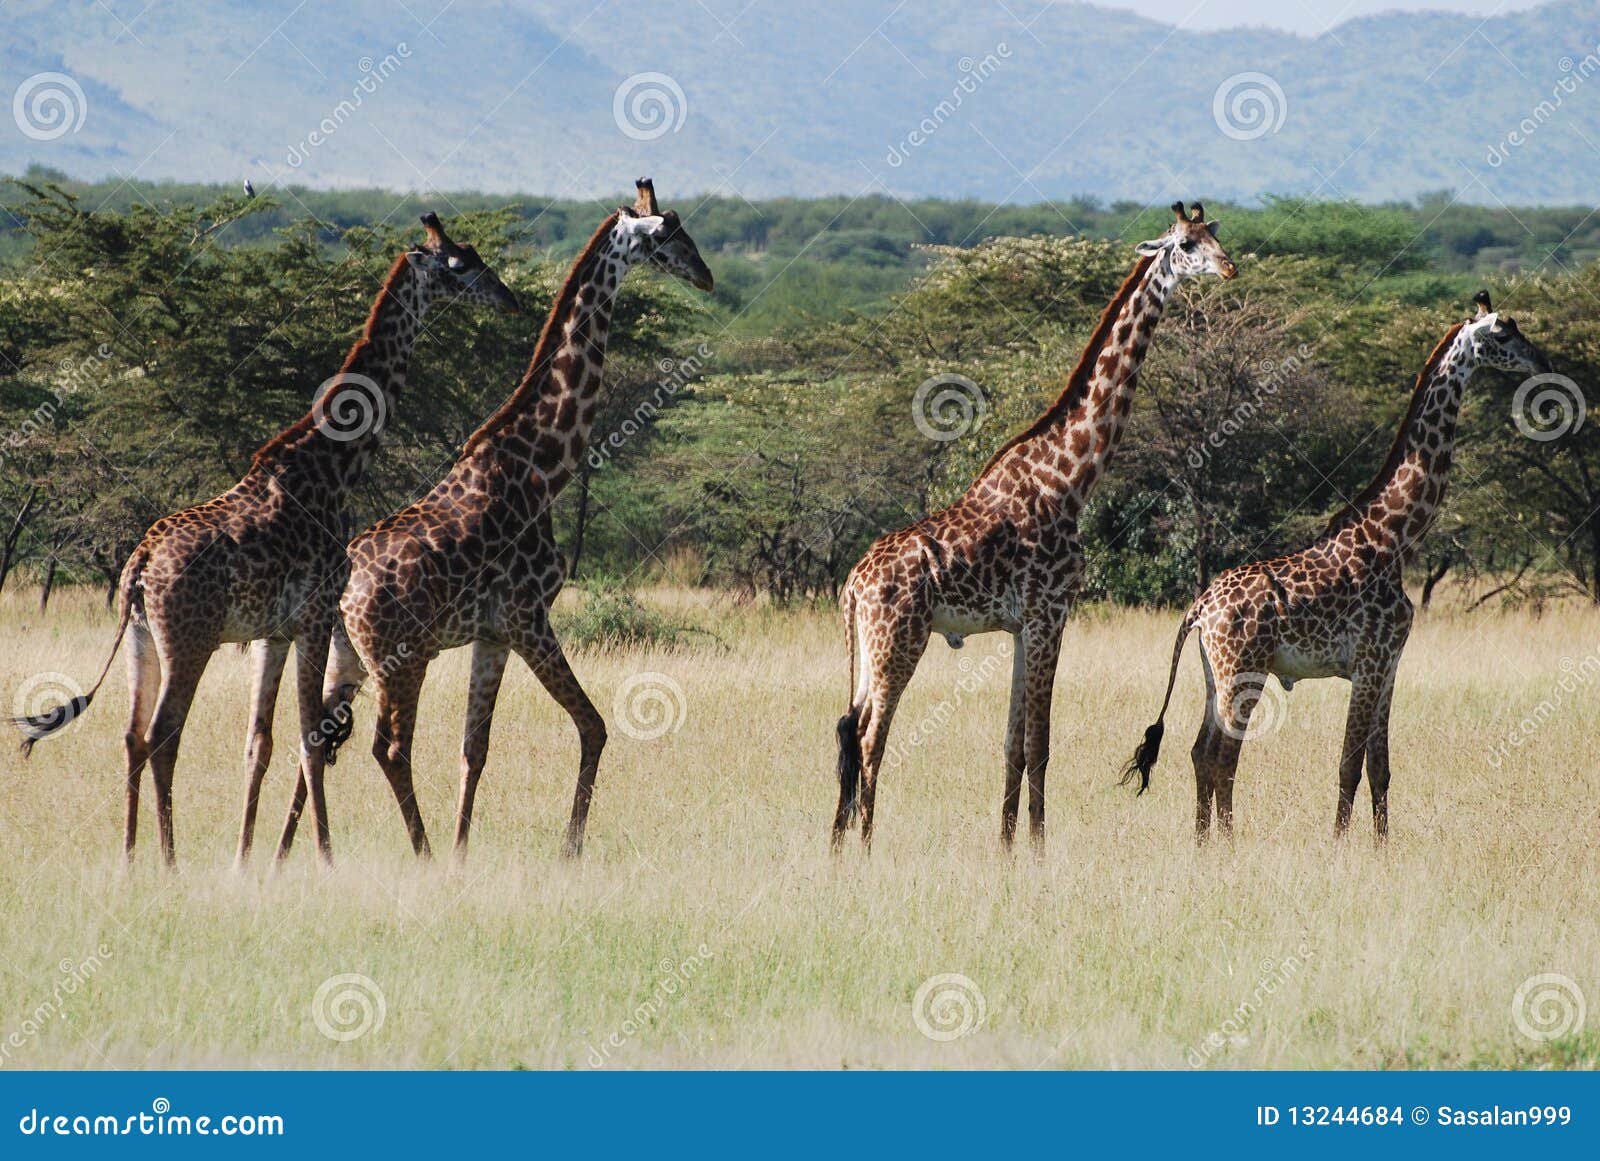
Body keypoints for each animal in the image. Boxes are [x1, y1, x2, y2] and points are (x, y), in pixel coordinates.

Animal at [13, 214, 519, 867]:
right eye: (460, 263)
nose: (509, 299)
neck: (334, 463)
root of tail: (140, 565)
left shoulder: (272, 632)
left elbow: (263, 741)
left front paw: (247, 857)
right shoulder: (316, 614)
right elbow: (310, 737)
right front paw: (324, 857)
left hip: (142, 638)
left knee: (129, 736)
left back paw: (128, 857)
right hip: (190, 638)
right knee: (162, 734)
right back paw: (168, 860)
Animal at [275, 179, 713, 862]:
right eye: (669, 232)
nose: (708, 277)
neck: (542, 464)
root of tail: (342, 594)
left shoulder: (492, 633)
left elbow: (474, 750)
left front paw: (464, 851)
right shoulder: (527, 615)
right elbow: (594, 726)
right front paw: (568, 851)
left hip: (349, 657)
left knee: (316, 741)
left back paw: (288, 854)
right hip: (401, 657)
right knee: (387, 748)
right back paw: (418, 853)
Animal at [832, 202, 1236, 852]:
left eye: (1216, 236)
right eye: (1184, 245)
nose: (1229, 268)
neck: (1071, 474)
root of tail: (851, 586)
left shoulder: (1023, 626)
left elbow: (1013, 746)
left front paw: (1006, 845)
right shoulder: (1053, 610)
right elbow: (1041, 745)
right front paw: (1041, 848)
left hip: (867, 645)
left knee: (847, 727)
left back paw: (838, 844)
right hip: (899, 638)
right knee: (871, 738)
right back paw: (867, 847)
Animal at [1122, 292, 1553, 842]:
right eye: (1502, 332)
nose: (1540, 362)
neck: (1396, 538)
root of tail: (1198, 608)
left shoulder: (1389, 666)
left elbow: (1380, 767)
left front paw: (1382, 846)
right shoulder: (1368, 662)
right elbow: (1349, 764)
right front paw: (1339, 845)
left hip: (1212, 672)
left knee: (1201, 752)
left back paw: (1203, 843)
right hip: (1244, 670)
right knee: (1223, 756)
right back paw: (1228, 843)